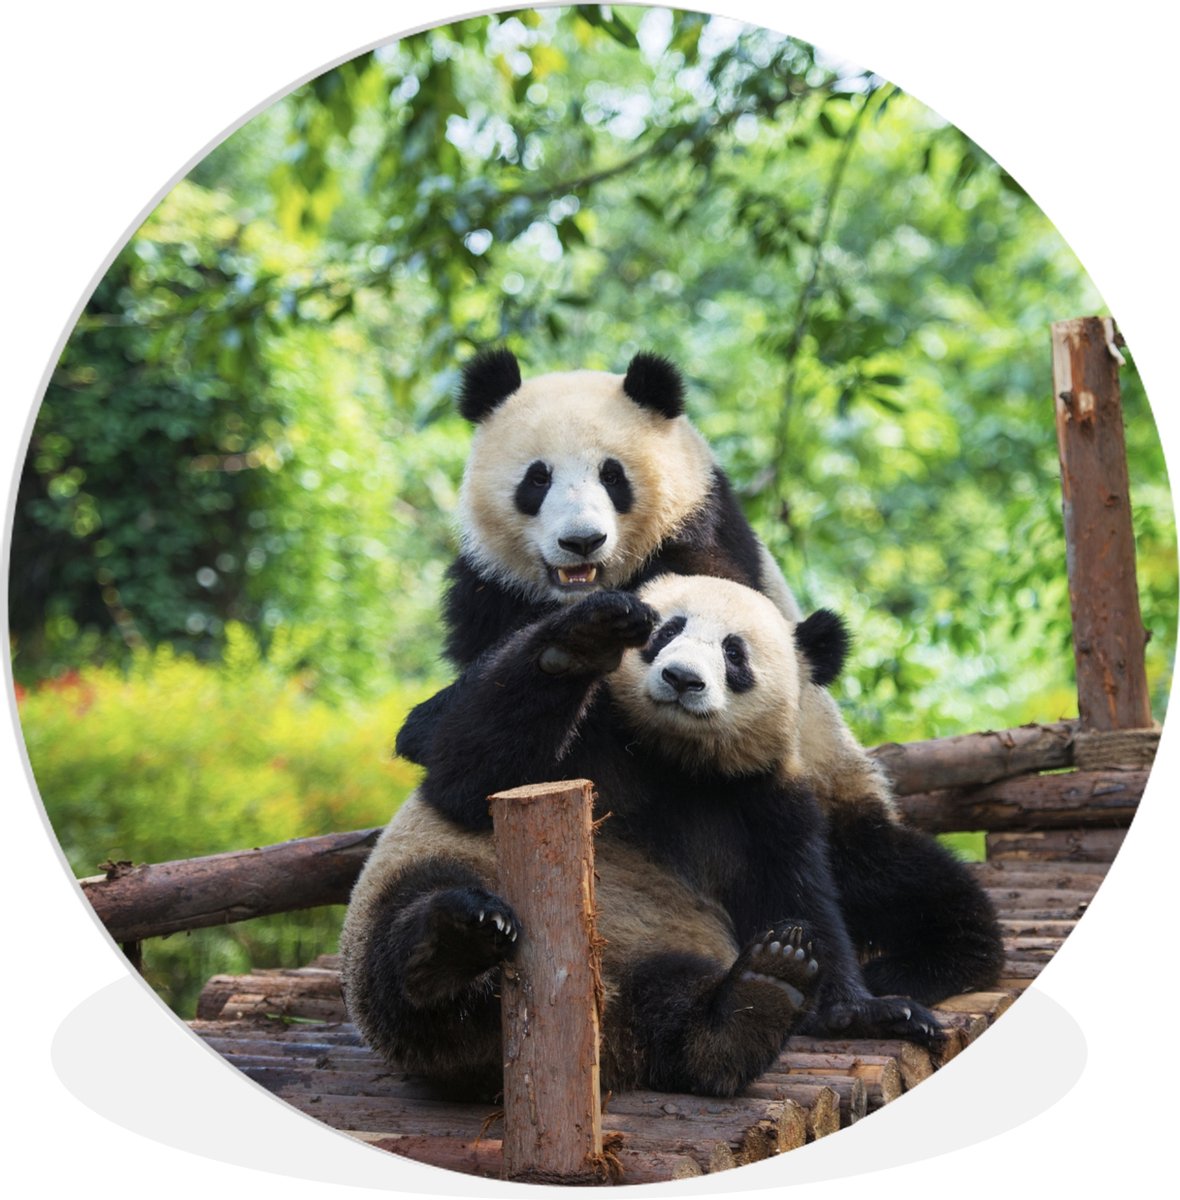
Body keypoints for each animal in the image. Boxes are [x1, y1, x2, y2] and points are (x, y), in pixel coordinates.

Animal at [341, 576, 942, 1100]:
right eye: (666, 631)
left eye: (734, 653)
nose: (681, 678)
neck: (671, 757)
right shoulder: (589, 738)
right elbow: (468, 775)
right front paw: (584, 638)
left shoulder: (760, 799)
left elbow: (797, 892)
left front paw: (867, 1007)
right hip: (421, 889)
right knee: (410, 925)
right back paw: (455, 943)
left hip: (659, 953)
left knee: (673, 1009)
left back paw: (755, 1002)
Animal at [396, 349, 1004, 1007]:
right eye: (537, 479)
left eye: (613, 475)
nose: (582, 540)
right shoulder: (488, 590)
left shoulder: (701, 543)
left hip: (837, 794)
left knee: (905, 879)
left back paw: (919, 962)